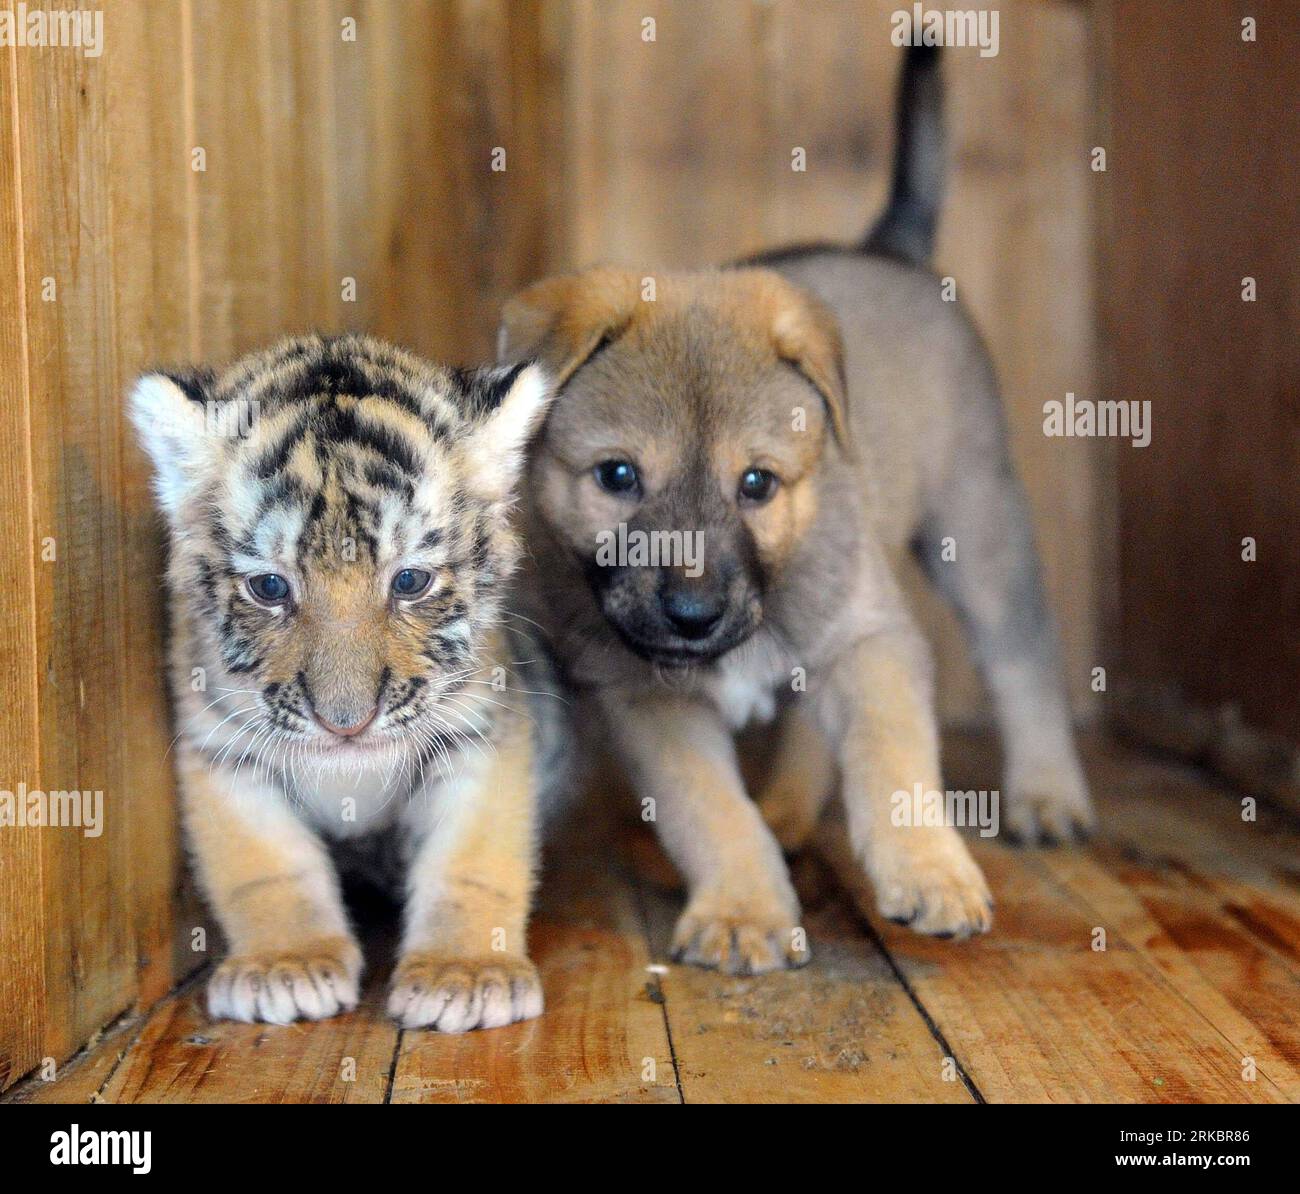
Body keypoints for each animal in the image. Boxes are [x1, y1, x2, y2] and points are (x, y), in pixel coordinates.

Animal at [129, 332, 568, 1032]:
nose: (346, 722)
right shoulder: (222, 751)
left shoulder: (482, 735)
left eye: (410, 581)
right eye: (270, 587)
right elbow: (267, 869)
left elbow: (471, 862)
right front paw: (286, 965)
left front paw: (464, 974)